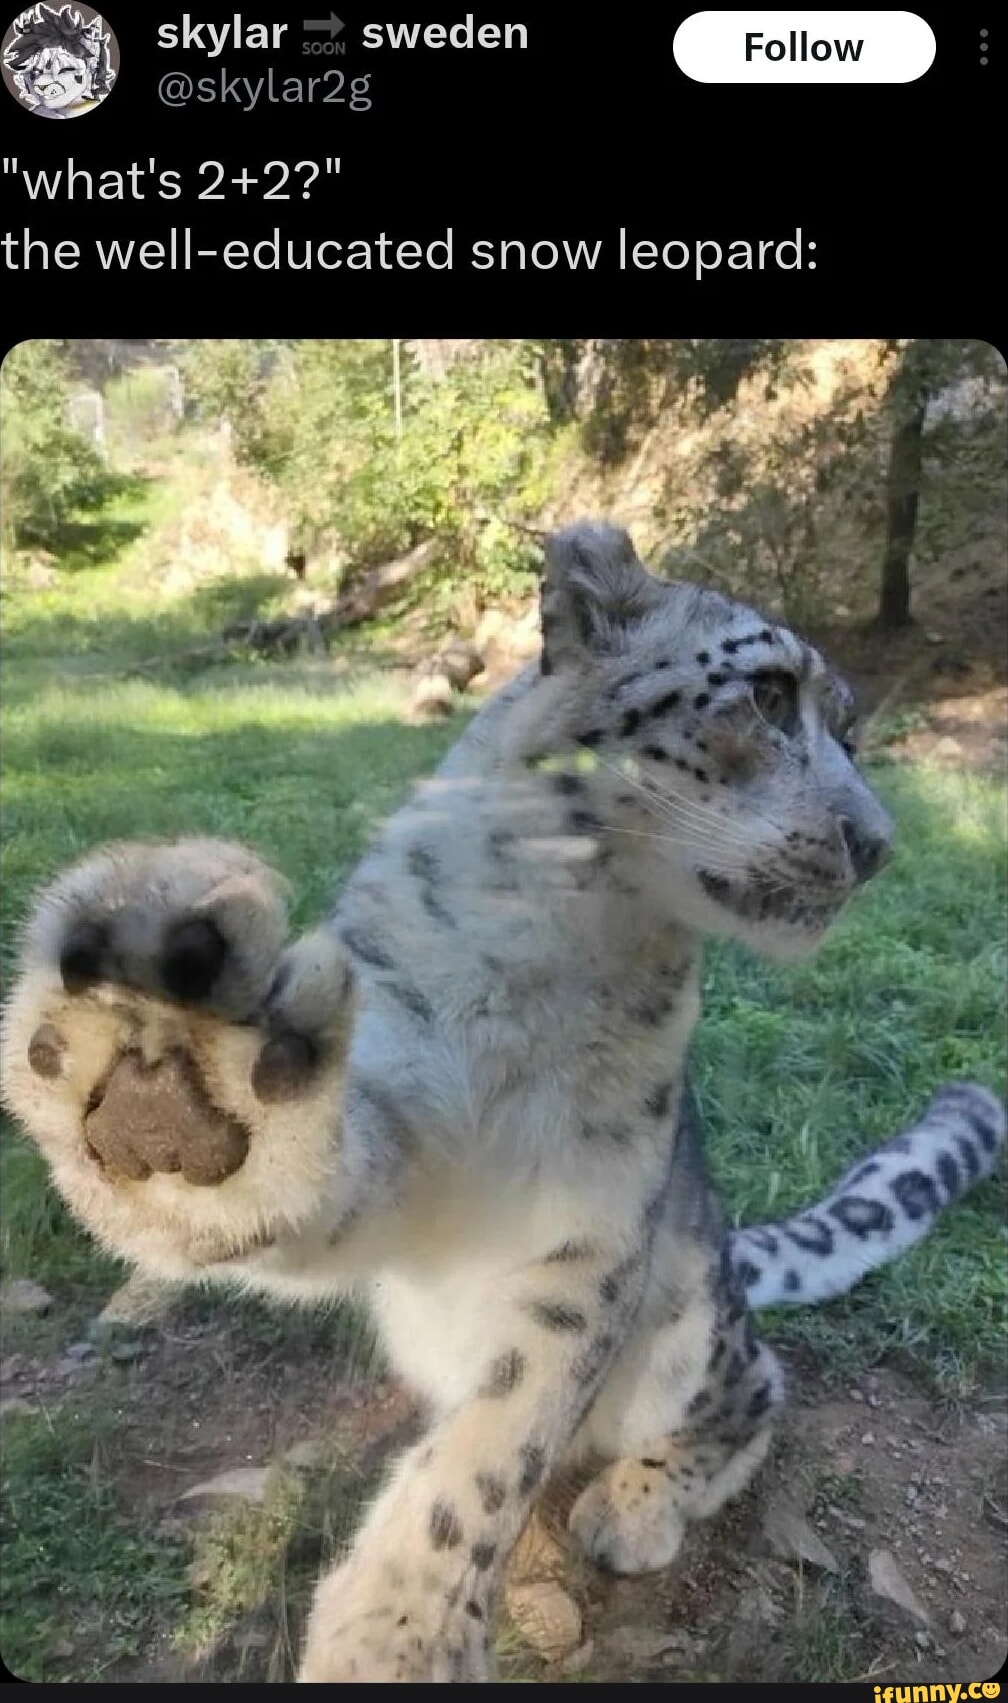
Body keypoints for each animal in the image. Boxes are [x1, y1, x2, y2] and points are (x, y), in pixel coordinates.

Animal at [1, 521, 1003, 1684]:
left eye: (847, 727)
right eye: (765, 693)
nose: (876, 842)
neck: (559, 926)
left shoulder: (593, 1219)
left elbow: (504, 1435)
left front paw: (398, 1635)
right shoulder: (400, 1119)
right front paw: (162, 1074)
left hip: (690, 1321)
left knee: (755, 1389)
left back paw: (634, 1503)